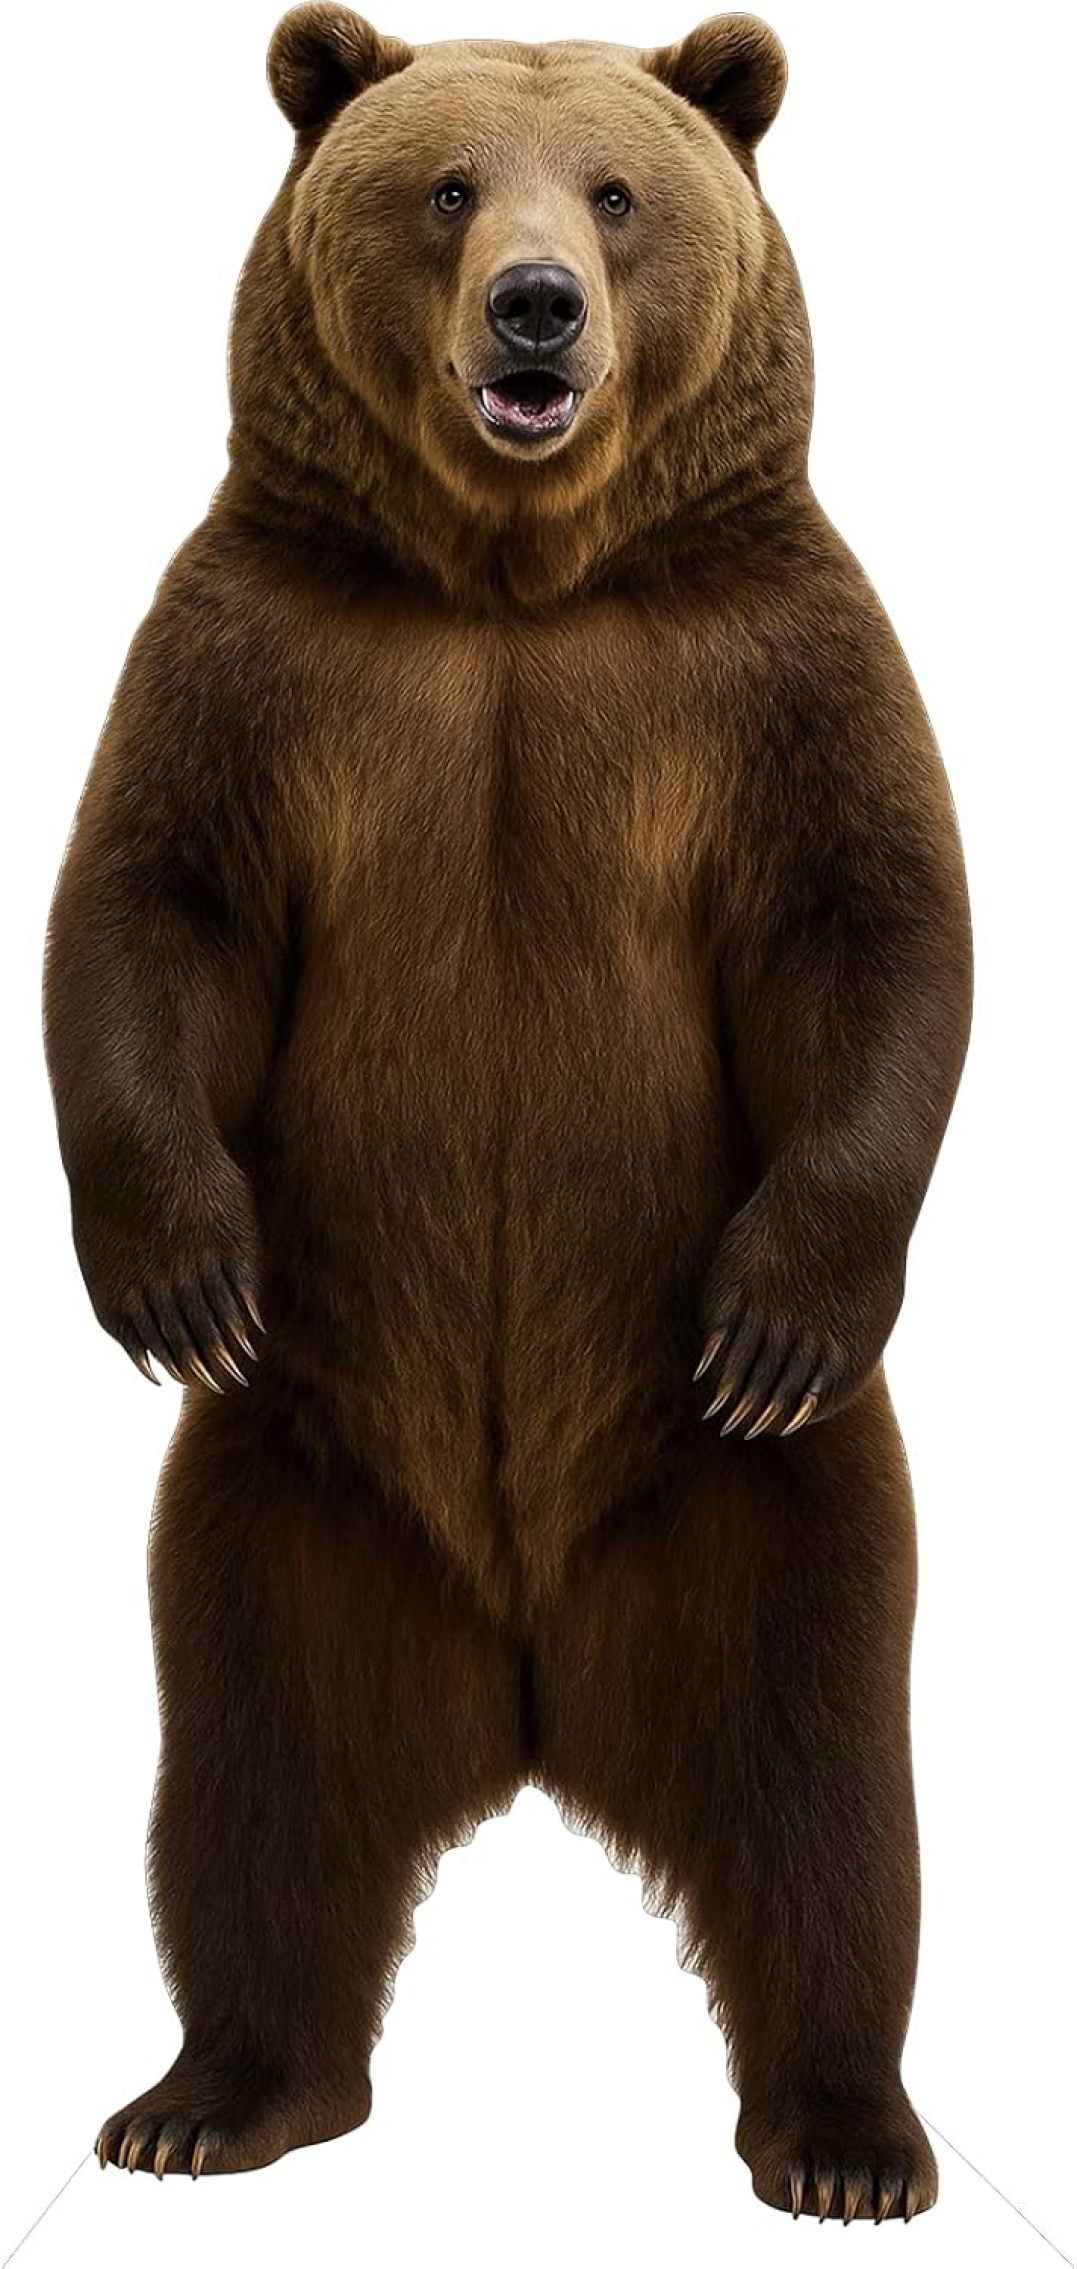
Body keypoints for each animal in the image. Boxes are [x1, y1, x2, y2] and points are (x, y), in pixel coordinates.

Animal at [44, 5, 973, 2220]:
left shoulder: (767, 663)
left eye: (617, 194)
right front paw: (171, 1277)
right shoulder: (264, 655)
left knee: (827, 1791)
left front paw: (781, 1307)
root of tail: (531, 1690)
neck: (513, 583)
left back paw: (842, 2132)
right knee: (254, 1788)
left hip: (758, 1511)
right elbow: (146, 901)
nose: (536, 303)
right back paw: (210, 2093)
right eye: (447, 184)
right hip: (287, 1494)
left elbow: (877, 921)